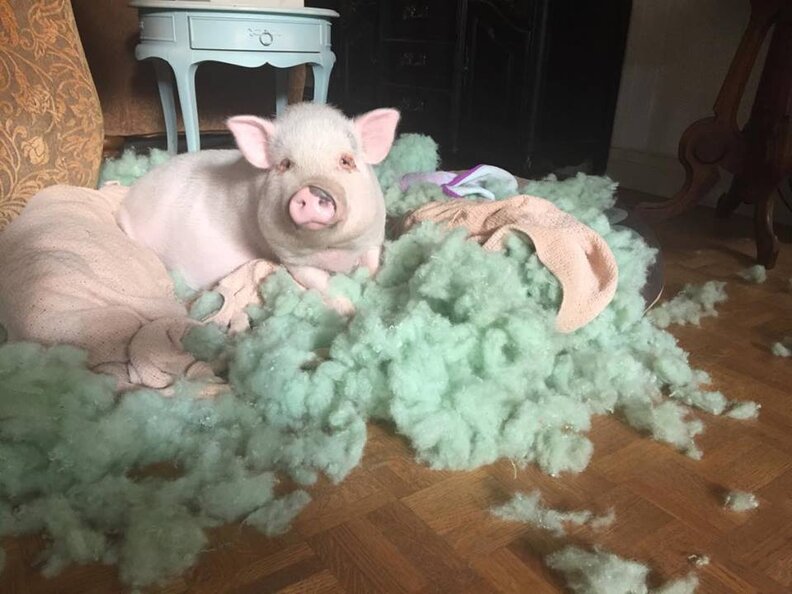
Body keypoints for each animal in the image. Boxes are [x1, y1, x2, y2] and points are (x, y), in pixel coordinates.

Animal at [116, 102, 400, 312]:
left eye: (346, 161)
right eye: (285, 164)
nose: (311, 190)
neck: (332, 251)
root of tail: (127, 201)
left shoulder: (373, 237)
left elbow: (372, 265)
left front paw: (370, 286)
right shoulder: (291, 259)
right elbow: (320, 282)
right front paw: (350, 310)